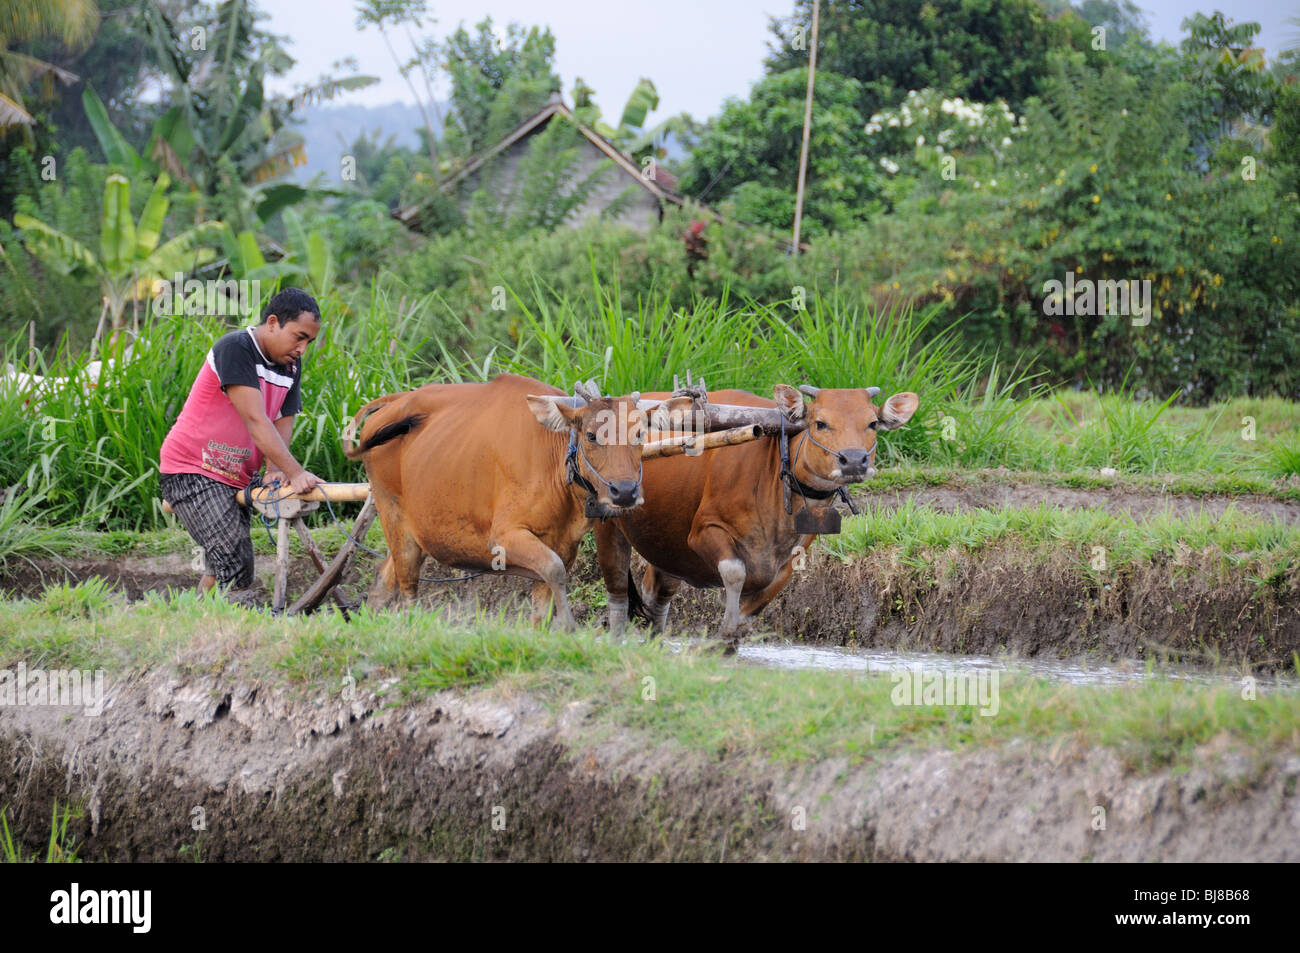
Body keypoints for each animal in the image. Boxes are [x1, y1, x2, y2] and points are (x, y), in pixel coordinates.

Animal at [344, 373, 691, 629]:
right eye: (591, 435)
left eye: (640, 434)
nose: (625, 491)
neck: (554, 463)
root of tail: (397, 401)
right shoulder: (503, 537)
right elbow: (554, 571)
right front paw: (567, 626)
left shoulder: (561, 544)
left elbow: (544, 596)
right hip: (393, 516)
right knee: (407, 591)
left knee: (383, 582)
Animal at [595, 384, 919, 648]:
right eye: (820, 423)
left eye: (872, 423)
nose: (853, 460)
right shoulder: (704, 532)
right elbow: (735, 573)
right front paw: (724, 632)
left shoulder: (790, 559)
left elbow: (759, 603)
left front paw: (728, 641)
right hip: (610, 526)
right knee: (618, 592)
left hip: (667, 545)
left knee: (656, 594)